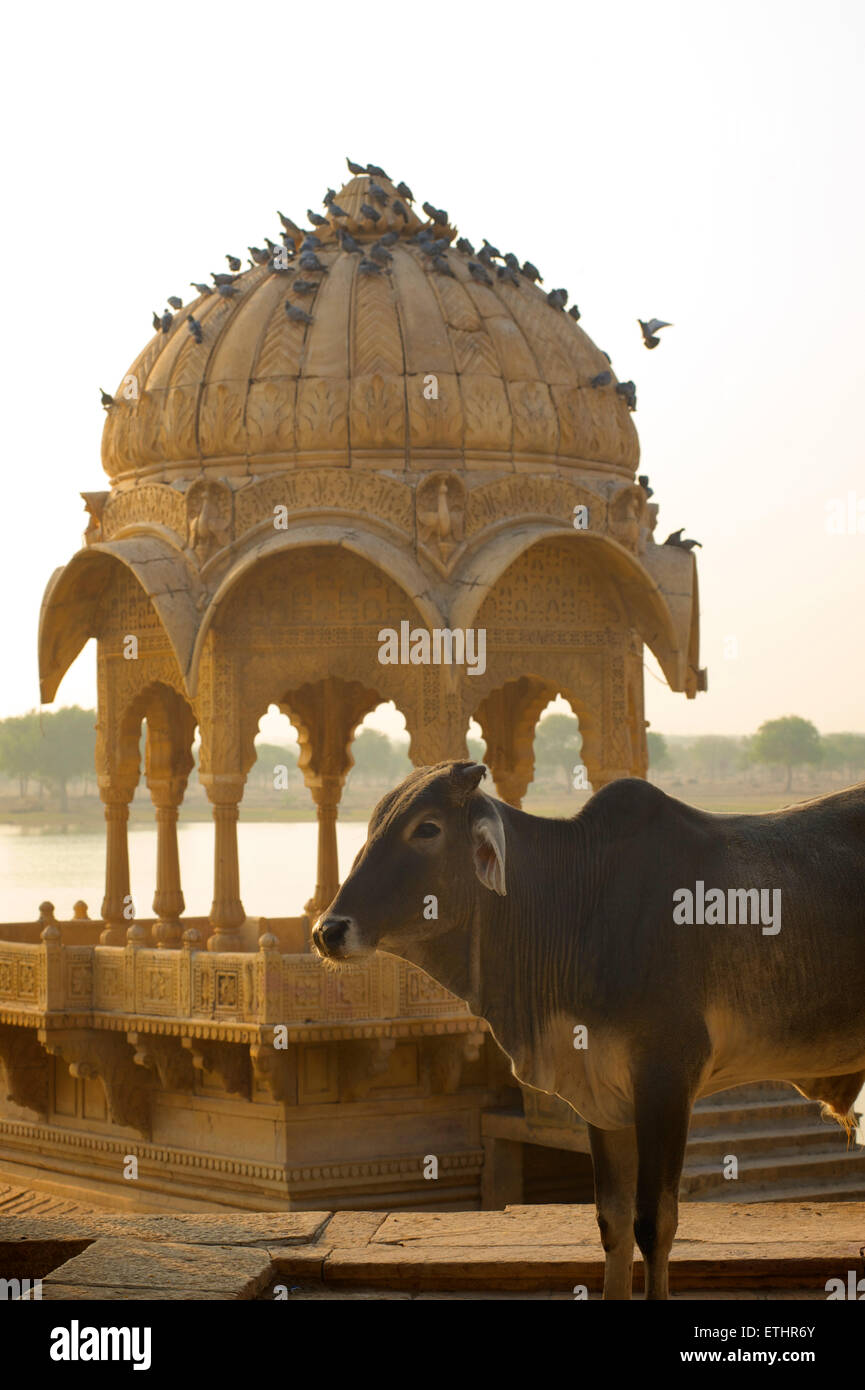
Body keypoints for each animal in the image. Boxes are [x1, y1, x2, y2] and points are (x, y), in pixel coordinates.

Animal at [312, 760, 865, 1300]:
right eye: (373, 825)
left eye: (427, 828)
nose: (327, 931)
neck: (576, 909)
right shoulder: (602, 1094)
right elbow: (612, 1222)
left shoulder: (667, 1081)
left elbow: (654, 1224)